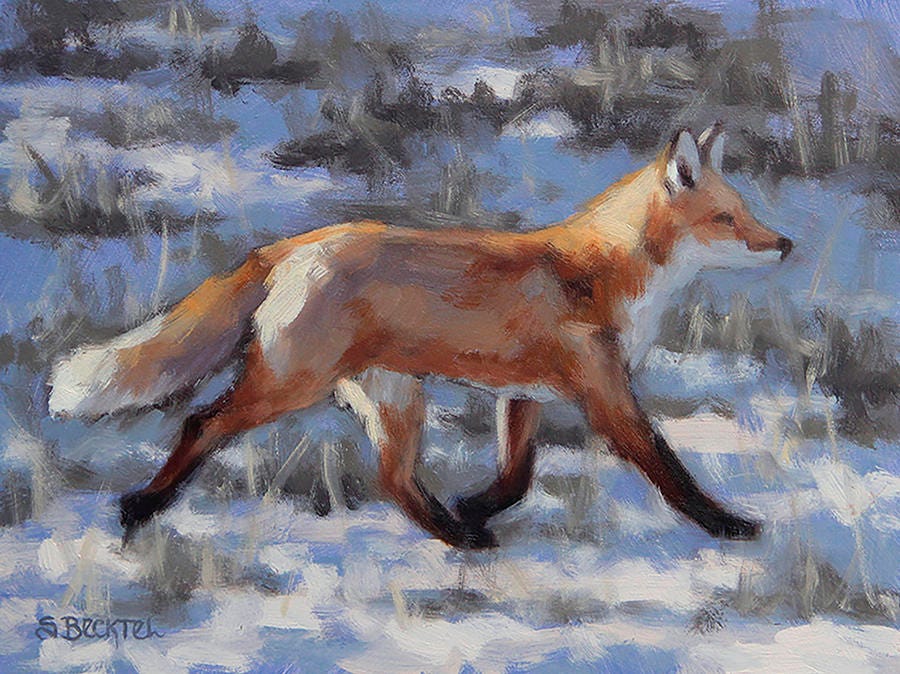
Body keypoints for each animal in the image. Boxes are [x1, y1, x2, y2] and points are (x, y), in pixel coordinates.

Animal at [48, 124, 792, 549]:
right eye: (727, 219)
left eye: (746, 211)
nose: (785, 245)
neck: (605, 273)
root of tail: (290, 246)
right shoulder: (606, 392)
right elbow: (668, 469)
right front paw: (728, 526)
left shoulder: (523, 394)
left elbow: (517, 476)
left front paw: (477, 506)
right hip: (291, 384)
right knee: (202, 422)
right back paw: (141, 507)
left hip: (395, 399)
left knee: (393, 479)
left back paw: (456, 533)